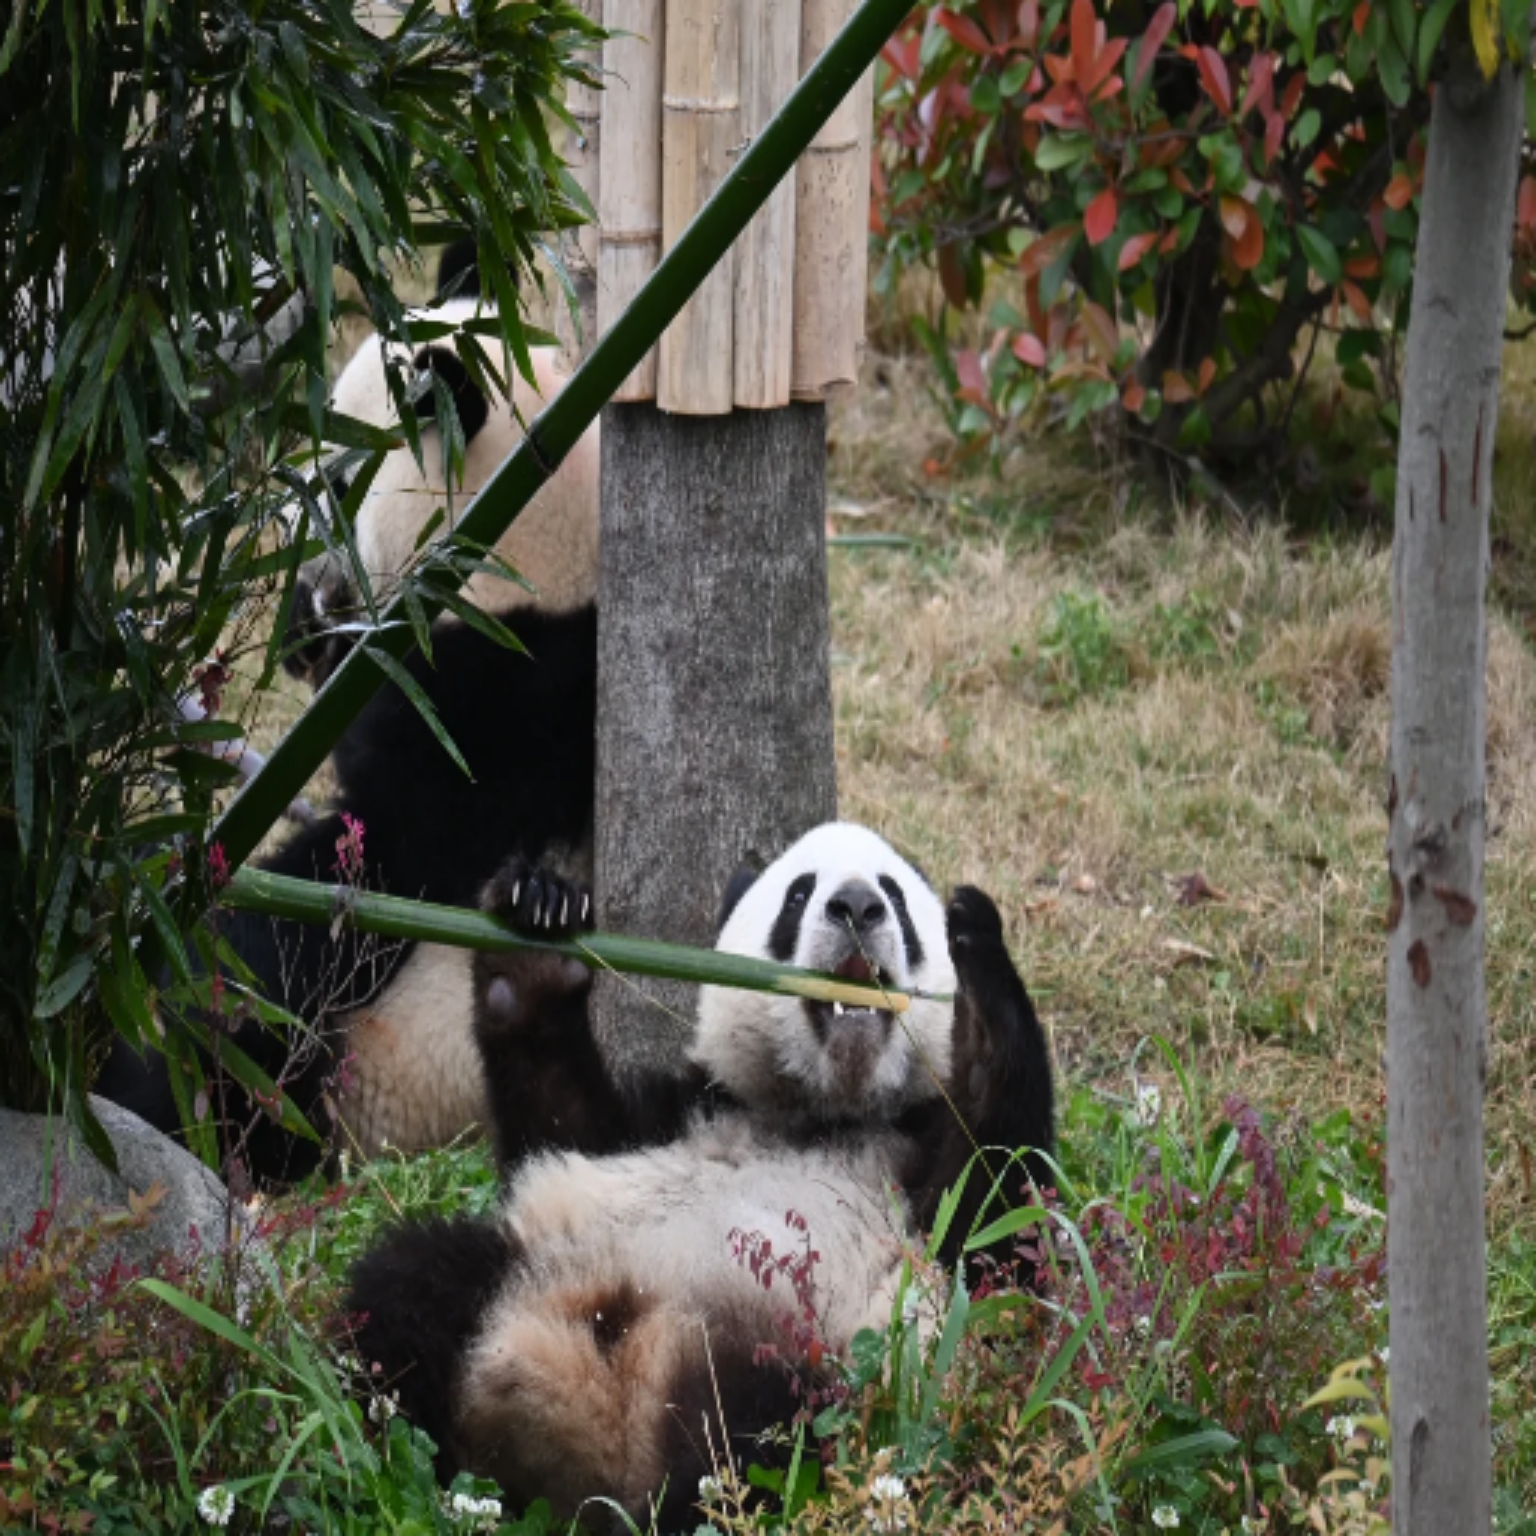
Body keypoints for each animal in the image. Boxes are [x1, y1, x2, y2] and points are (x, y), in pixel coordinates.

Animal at [95, 246, 602, 1185]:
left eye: (338, 482)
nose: (300, 583)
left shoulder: (492, 694)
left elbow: (396, 824)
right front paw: (311, 629)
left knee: (248, 993)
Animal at [347, 821, 1055, 1531]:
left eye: (896, 898)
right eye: (800, 895)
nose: (857, 905)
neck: (827, 1112)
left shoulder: (919, 1172)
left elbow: (999, 1225)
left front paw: (976, 960)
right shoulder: (678, 1116)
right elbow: (553, 1132)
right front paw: (537, 922)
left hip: (820, 1366)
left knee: (756, 1439)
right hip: (525, 1271)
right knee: (409, 1286)